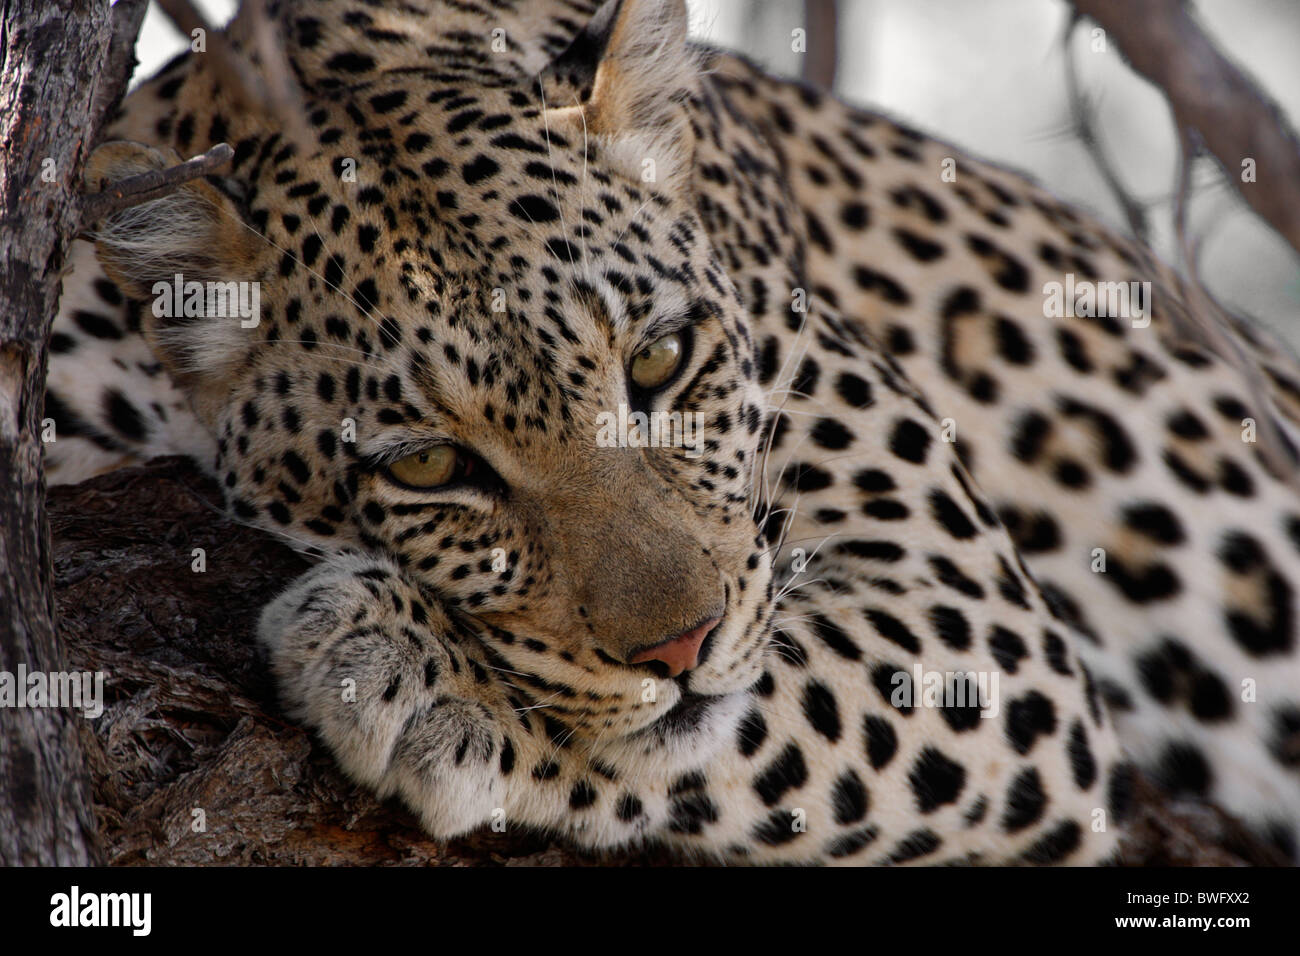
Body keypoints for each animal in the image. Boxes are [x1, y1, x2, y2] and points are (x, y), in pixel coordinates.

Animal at [44, 0, 1300, 864]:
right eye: (433, 465)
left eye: (656, 359)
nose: (679, 648)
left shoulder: (982, 625)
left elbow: (784, 708)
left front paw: (420, 669)